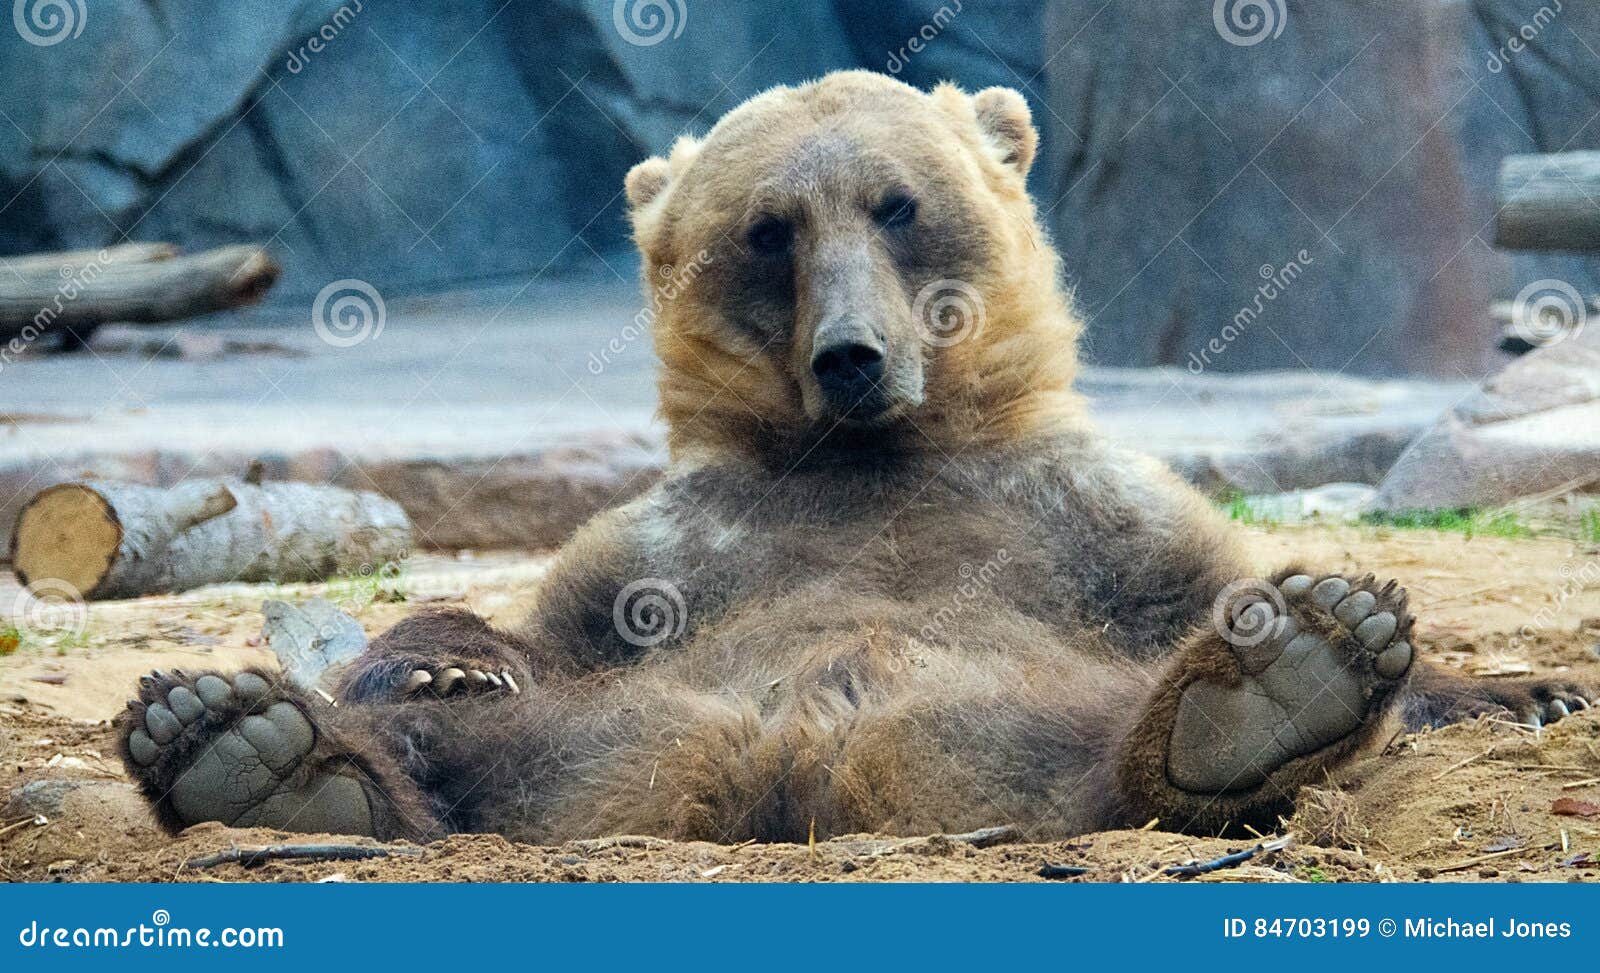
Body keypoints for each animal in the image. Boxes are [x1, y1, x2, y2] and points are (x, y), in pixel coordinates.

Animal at [118, 71, 1593, 845]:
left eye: (898, 205)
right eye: (769, 229)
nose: (851, 356)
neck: (874, 455)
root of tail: (805, 773)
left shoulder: (1085, 514)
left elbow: (1199, 584)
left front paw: (1511, 682)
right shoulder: (685, 540)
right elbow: (541, 623)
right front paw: (442, 657)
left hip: (1032, 700)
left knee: (1120, 735)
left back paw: (1266, 700)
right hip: (602, 727)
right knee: (458, 752)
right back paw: (256, 751)